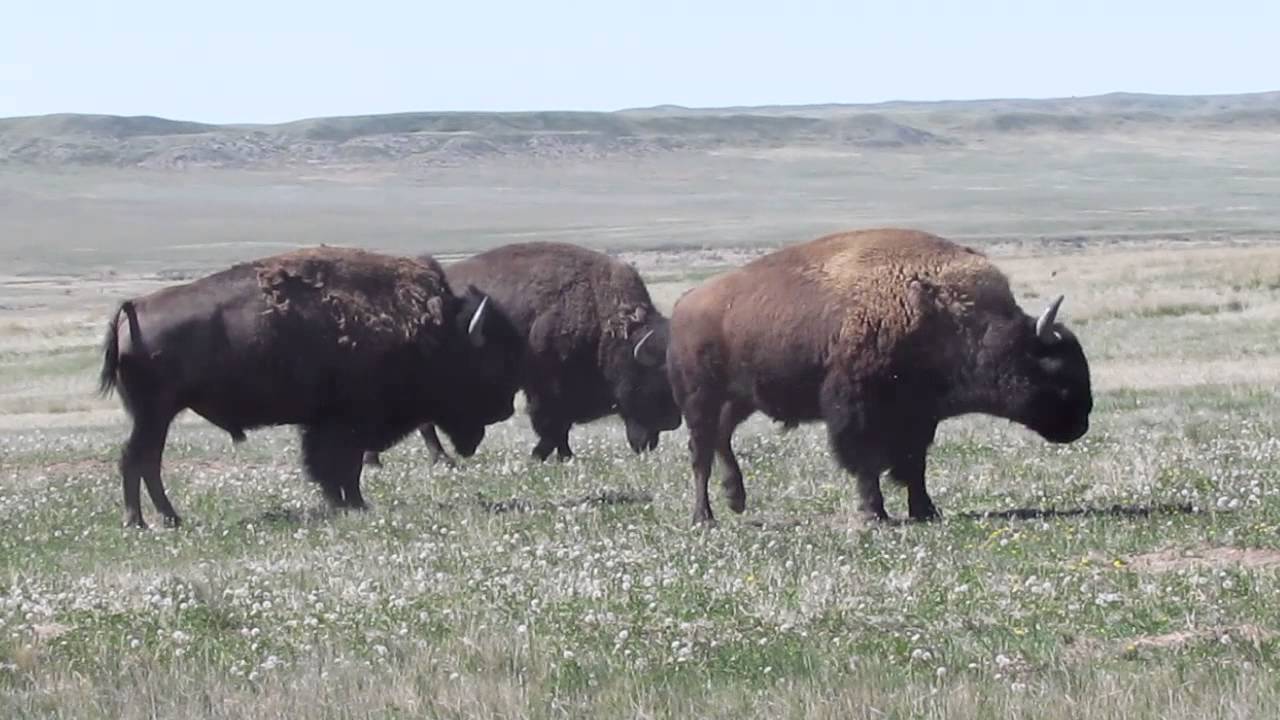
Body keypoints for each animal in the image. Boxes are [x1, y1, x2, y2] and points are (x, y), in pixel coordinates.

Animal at [97, 246, 523, 528]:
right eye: (485, 363)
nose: (505, 409)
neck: (434, 333)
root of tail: (135, 308)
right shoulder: (346, 424)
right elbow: (342, 467)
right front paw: (354, 505)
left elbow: (339, 468)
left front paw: (348, 504)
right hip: (154, 414)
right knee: (136, 458)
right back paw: (142, 521)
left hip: (157, 415)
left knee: (146, 460)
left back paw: (167, 519)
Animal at [362, 241, 681, 466]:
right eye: (655, 380)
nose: (672, 423)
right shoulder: (546, 387)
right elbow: (552, 424)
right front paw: (542, 456)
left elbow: (561, 427)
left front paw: (564, 456)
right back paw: (425, 460)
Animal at [666, 228, 1093, 525]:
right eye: (1057, 370)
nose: (1081, 423)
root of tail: (685, 303)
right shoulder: (858, 410)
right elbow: (868, 462)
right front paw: (875, 513)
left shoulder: (920, 417)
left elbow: (914, 463)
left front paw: (925, 510)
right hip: (702, 399)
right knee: (700, 453)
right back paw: (704, 517)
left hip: (740, 399)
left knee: (721, 439)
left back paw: (735, 499)